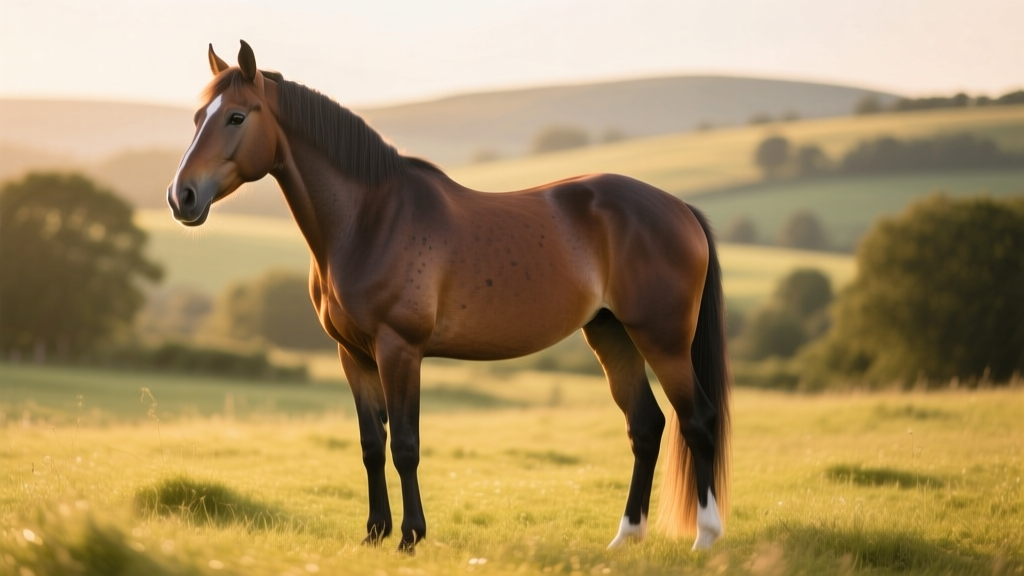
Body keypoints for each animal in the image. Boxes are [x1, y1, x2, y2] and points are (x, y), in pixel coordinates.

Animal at [167, 40, 731, 553]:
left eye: (236, 116)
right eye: (197, 117)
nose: (181, 197)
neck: (369, 219)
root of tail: (679, 207)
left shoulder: (400, 350)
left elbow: (406, 445)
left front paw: (410, 536)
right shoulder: (353, 355)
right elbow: (371, 446)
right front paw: (375, 533)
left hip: (663, 341)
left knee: (697, 421)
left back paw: (705, 538)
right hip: (612, 334)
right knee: (647, 426)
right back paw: (625, 539)